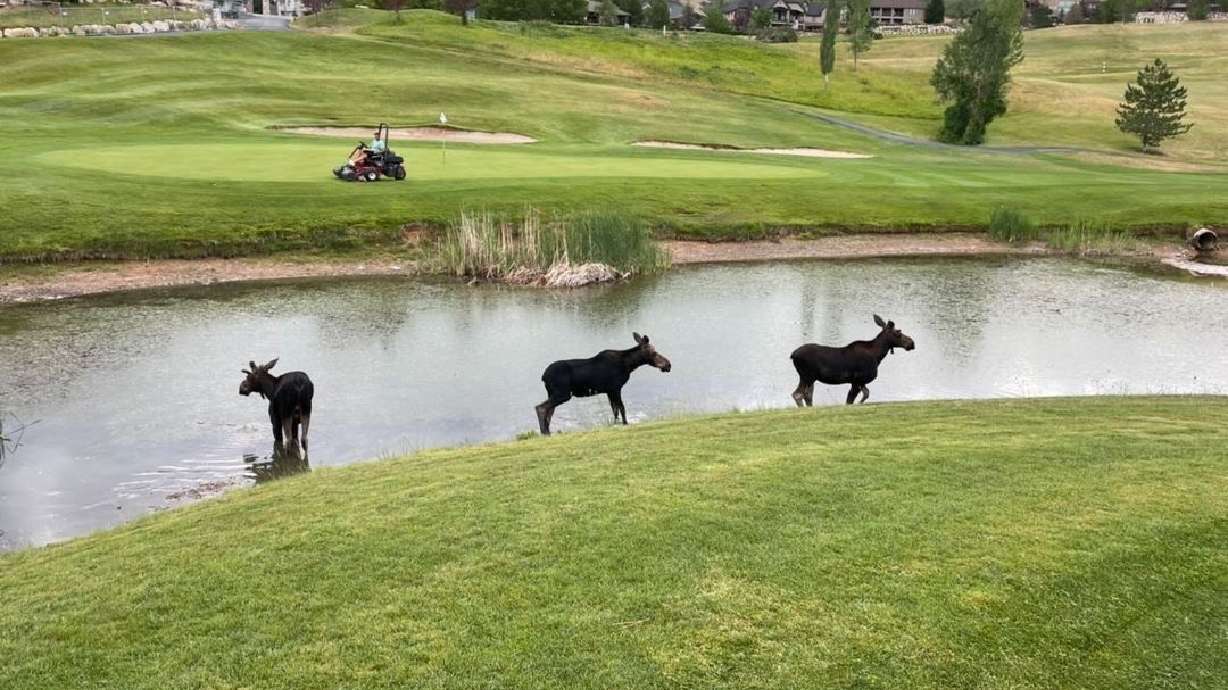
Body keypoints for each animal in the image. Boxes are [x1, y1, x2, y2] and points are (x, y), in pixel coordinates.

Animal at [535, 333, 672, 436]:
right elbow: (621, 408)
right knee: (541, 408)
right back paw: (545, 433)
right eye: (654, 352)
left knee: (549, 412)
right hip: (562, 394)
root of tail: (543, 376)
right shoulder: (616, 388)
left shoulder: (609, 391)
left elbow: (615, 410)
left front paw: (616, 424)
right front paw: (625, 423)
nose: (668, 364)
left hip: (553, 393)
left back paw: (547, 432)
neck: (629, 365)